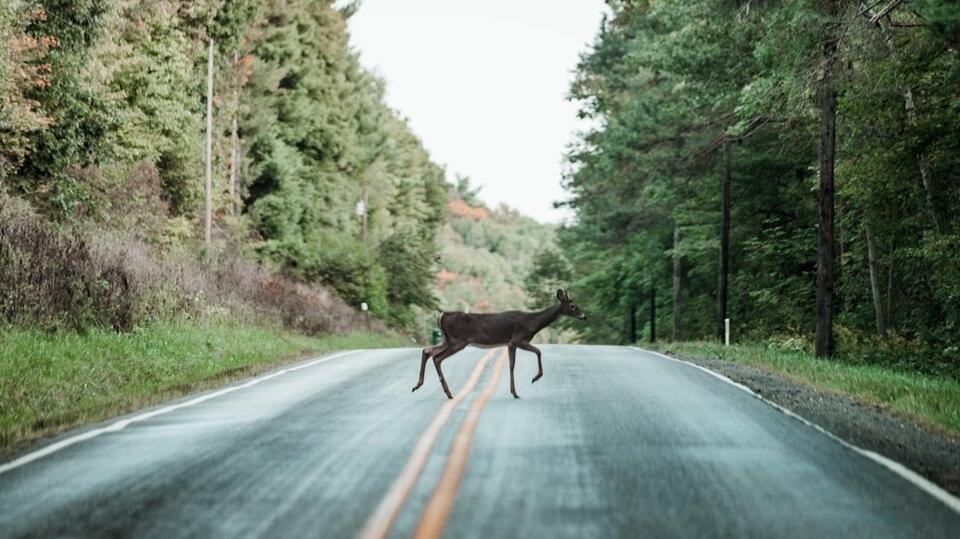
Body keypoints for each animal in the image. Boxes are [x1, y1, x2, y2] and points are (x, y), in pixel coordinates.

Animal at [412, 289, 587, 399]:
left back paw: (418, 385)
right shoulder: (518, 339)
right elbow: (538, 352)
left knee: (427, 351)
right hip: (458, 341)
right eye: (572, 305)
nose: (584, 316)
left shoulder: (510, 343)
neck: (533, 323)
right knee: (437, 358)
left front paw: (514, 392)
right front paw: (534, 378)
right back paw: (448, 393)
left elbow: (511, 364)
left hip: (447, 339)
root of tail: (442, 315)